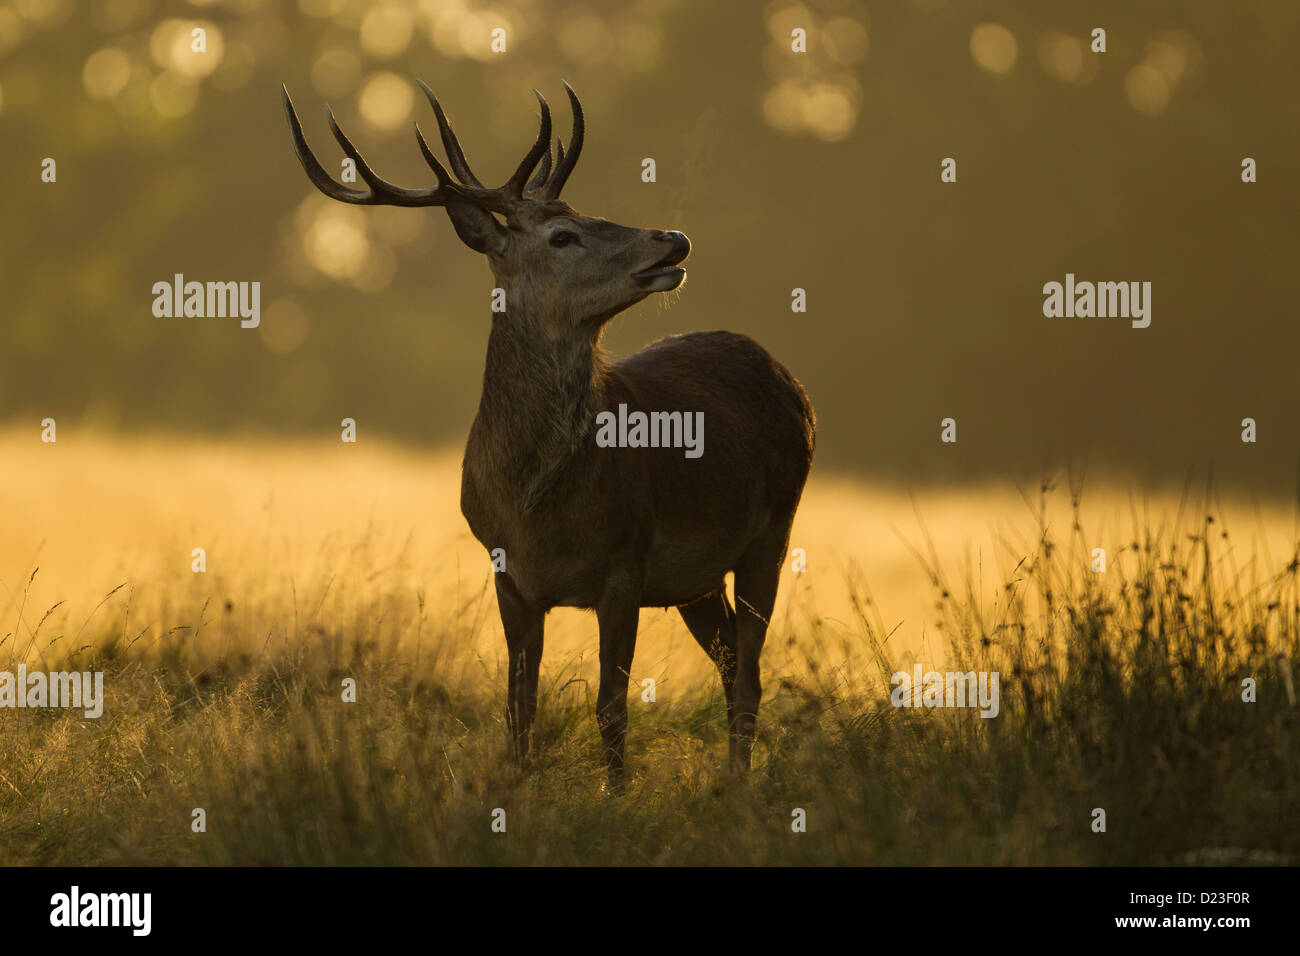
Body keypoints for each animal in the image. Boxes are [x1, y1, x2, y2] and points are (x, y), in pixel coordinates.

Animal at [281, 80, 816, 789]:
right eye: (564, 235)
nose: (673, 237)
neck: (535, 501)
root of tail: (791, 383)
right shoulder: (509, 576)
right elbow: (519, 709)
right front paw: (519, 789)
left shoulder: (625, 563)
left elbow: (611, 706)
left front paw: (617, 797)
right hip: (697, 579)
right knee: (733, 661)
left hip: (773, 528)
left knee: (751, 672)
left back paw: (737, 785)